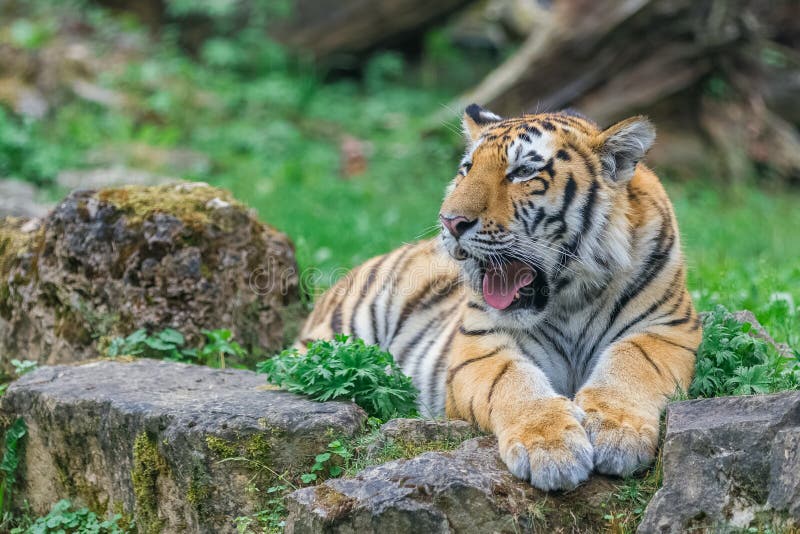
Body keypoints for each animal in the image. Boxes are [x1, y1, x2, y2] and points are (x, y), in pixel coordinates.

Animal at [296, 104, 701, 491]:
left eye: (522, 172)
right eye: (467, 169)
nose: (450, 222)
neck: (570, 297)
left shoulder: (667, 327)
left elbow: (631, 366)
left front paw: (618, 435)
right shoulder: (480, 343)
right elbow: (514, 384)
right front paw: (551, 450)